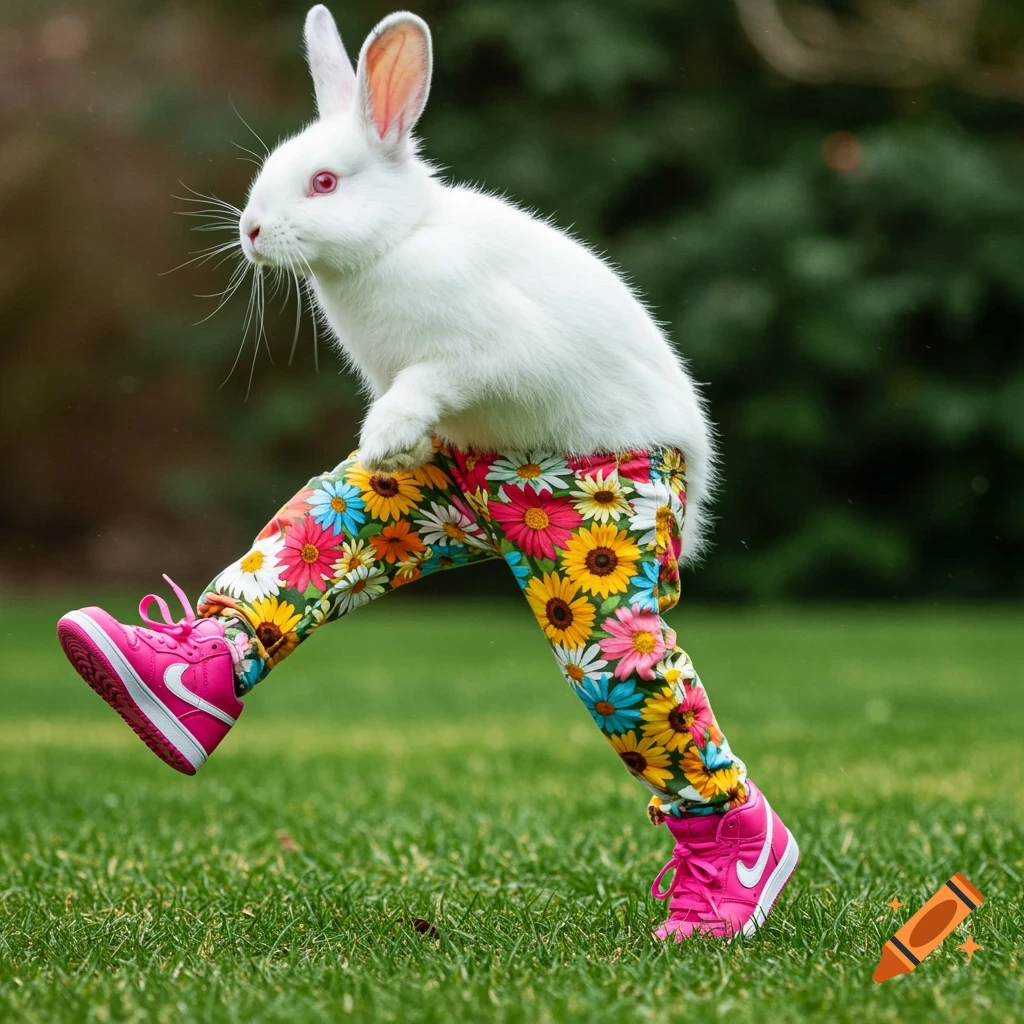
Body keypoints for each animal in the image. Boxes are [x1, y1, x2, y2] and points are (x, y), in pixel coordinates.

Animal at [238, 5, 717, 561]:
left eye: (324, 183)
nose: (250, 231)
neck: (398, 239)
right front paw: (403, 456)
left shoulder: (479, 355)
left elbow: (428, 385)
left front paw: (383, 440)